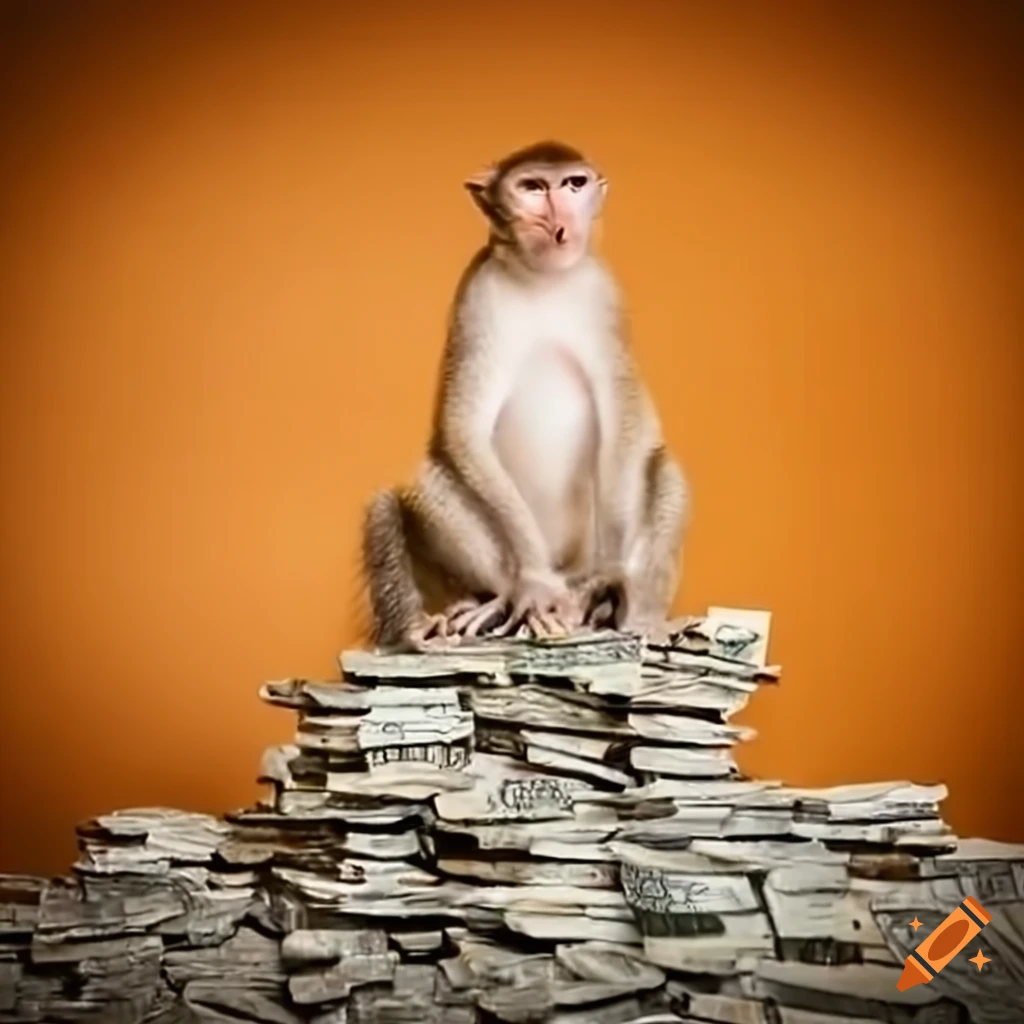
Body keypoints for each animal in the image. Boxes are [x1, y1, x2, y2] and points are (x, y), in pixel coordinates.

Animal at [361, 141, 688, 651]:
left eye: (573, 184)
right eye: (532, 187)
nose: (558, 223)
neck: (543, 279)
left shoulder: (605, 293)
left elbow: (628, 420)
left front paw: (614, 574)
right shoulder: (477, 293)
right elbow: (462, 430)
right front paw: (531, 582)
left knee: (663, 470)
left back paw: (635, 616)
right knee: (418, 482)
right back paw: (493, 602)